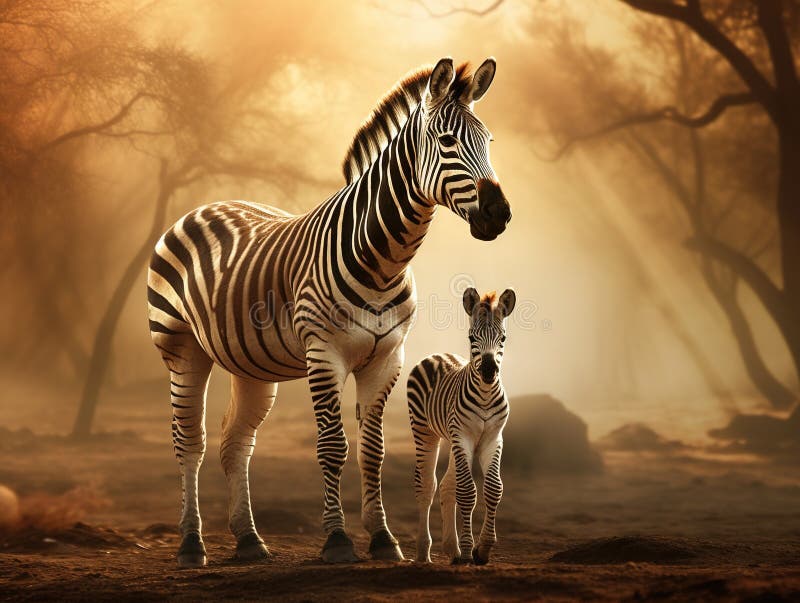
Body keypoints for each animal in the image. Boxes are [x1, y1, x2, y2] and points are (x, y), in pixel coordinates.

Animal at [407, 287, 516, 565]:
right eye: (471, 337)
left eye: (503, 338)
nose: (488, 371)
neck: (486, 394)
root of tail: (436, 354)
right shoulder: (463, 437)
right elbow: (466, 491)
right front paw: (468, 550)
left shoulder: (493, 438)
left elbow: (493, 488)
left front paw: (482, 549)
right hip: (425, 432)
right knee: (426, 485)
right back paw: (424, 553)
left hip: (454, 440)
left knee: (446, 486)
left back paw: (451, 549)